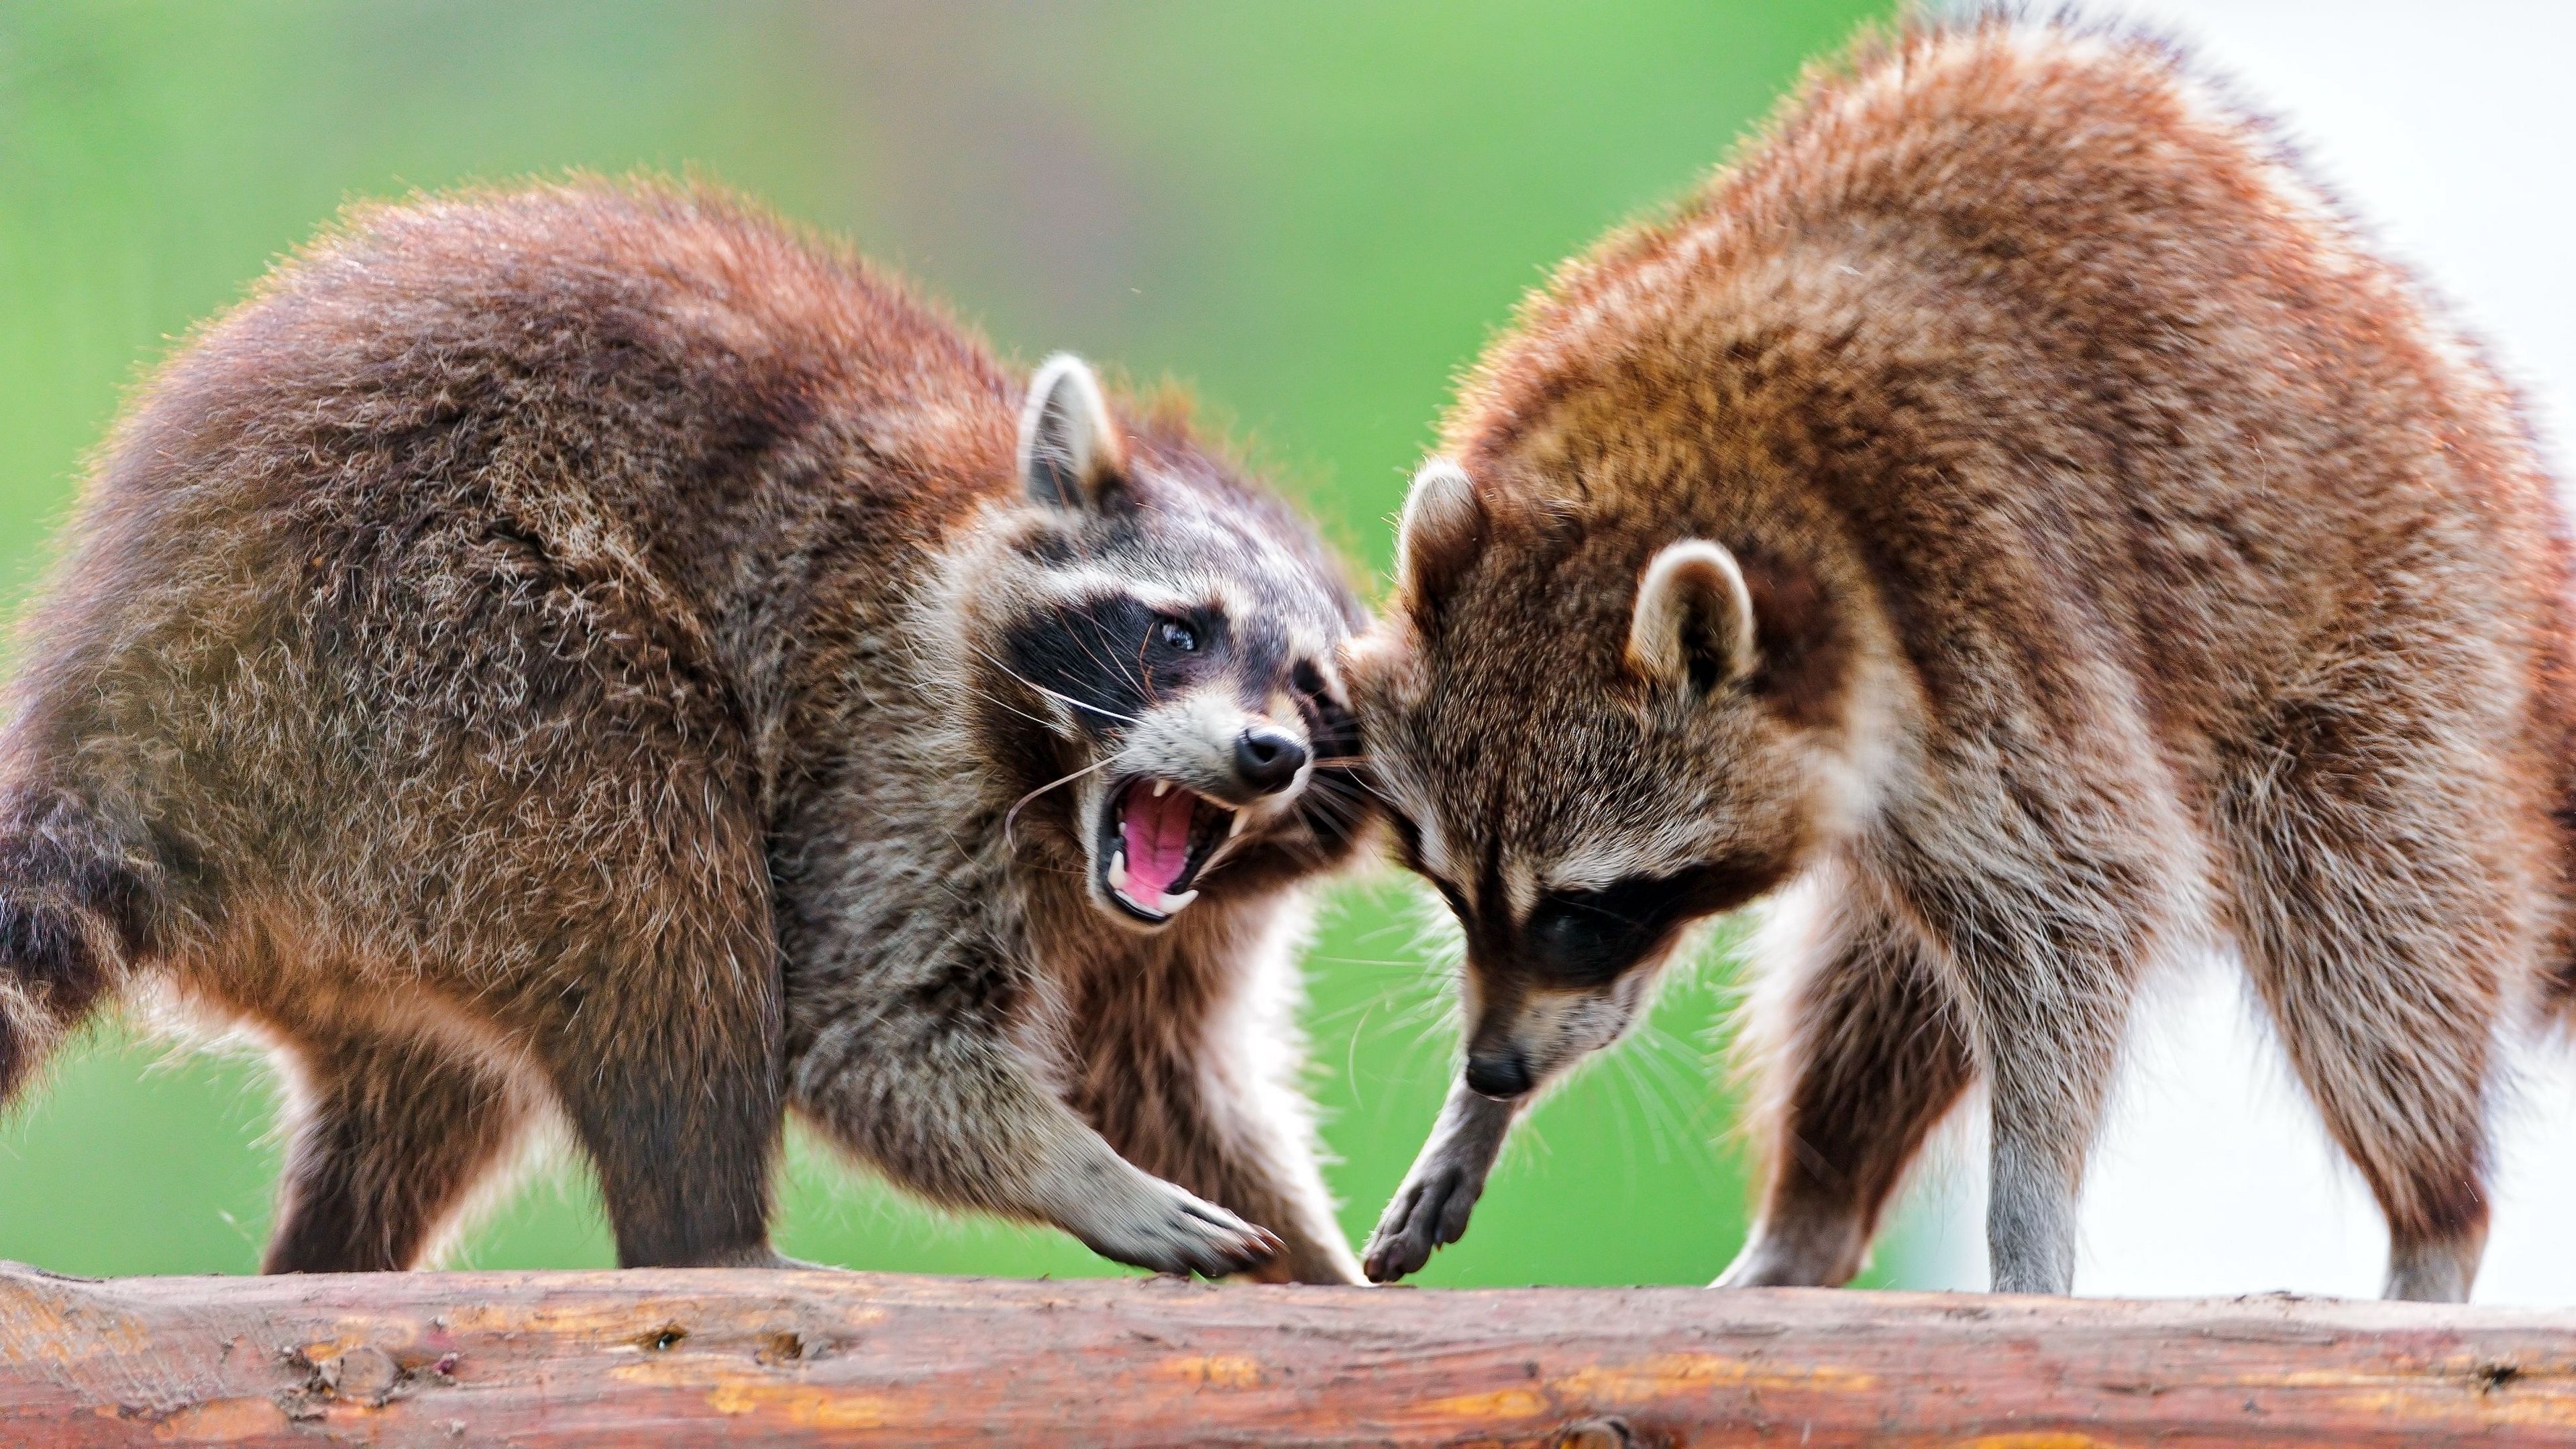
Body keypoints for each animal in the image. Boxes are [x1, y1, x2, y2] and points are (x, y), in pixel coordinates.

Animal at [0, 182, 1371, 1282]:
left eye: (1315, 694)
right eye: (1179, 633)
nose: (1268, 756)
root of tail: (117, 715)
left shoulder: (1188, 922)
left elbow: (1160, 1080)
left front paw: (1317, 1265)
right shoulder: (890, 728)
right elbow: (869, 1031)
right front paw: (1081, 1171)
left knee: (436, 1085)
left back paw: (335, 1256)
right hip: (425, 657)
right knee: (660, 870)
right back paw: (706, 1236)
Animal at [1353, 14, 2574, 1301]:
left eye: (1590, 909)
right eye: (1451, 890)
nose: (1492, 1069)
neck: (1674, 442)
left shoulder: (1982, 606)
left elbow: (2085, 900)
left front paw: (2031, 1212)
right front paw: (1477, 1112)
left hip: (2394, 638)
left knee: (2372, 948)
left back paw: (2437, 1215)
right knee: (1874, 989)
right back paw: (1812, 1214)